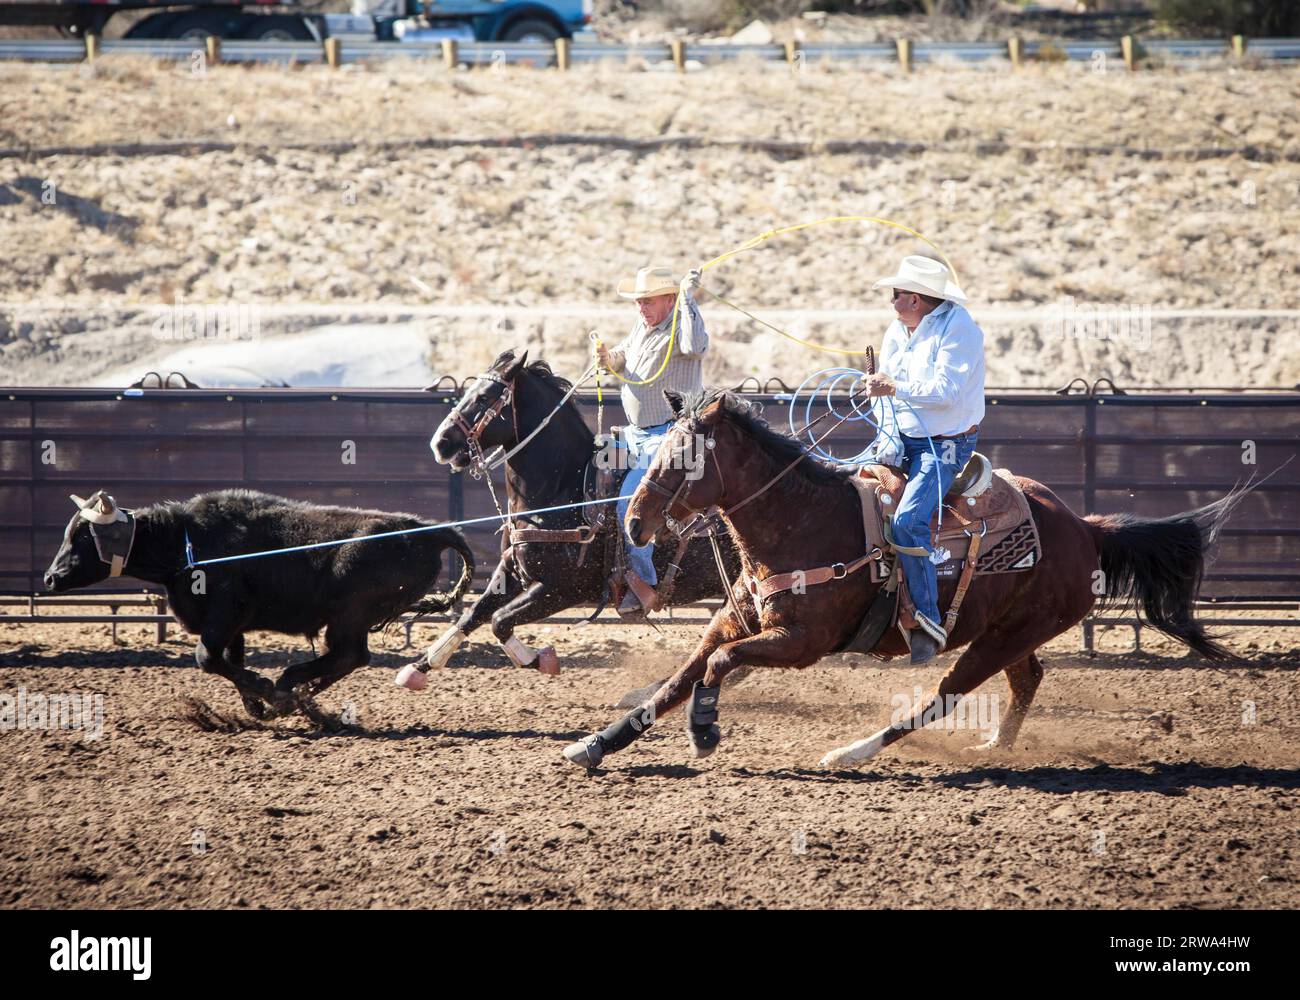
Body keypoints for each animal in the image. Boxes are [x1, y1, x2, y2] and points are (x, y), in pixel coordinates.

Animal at [405, 345, 738, 686]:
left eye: (484, 397)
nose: (440, 443)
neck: (564, 486)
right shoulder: (512, 568)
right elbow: (475, 613)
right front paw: (420, 666)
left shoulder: (561, 589)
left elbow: (499, 620)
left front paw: (540, 659)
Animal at [564, 384, 1242, 769]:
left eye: (686, 457)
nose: (635, 521)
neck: (805, 523)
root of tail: (1085, 529)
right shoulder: (733, 622)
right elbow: (677, 679)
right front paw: (594, 745)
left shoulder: (802, 644)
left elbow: (717, 668)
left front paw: (704, 733)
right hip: (1010, 631)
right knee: (1026, 680)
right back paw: (996, 746)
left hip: (1003, 637)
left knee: (944, 696)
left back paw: (852, 752)